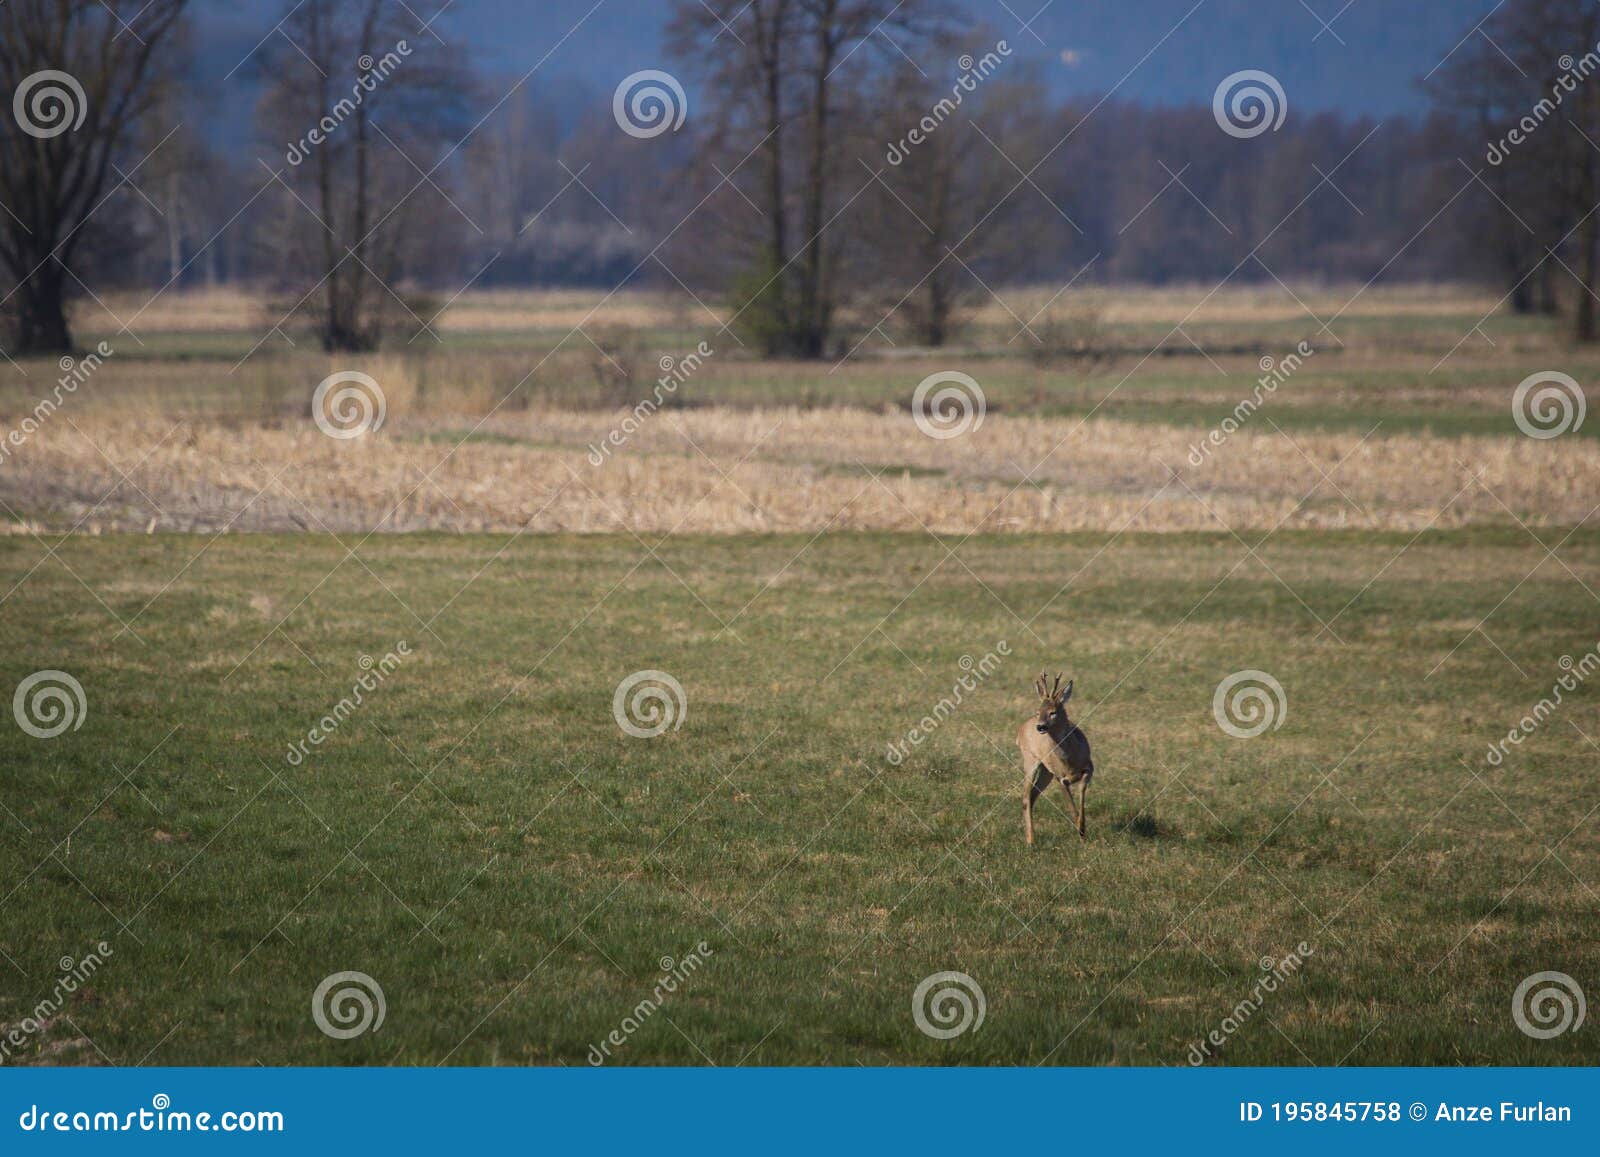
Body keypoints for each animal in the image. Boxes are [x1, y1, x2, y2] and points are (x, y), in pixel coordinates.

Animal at [1017, 673, 1094, 844]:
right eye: (1038, 711)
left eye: (1053, 712)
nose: (1040, 726)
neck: (1070, 761)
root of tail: (1021, 729)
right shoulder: (1060, 778)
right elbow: (1071, 808)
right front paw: (1081, 834)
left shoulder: (1089, 767)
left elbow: (1082, 793)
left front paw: (1082, 829)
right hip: (1030, 760)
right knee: (1025, 796)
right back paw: (1030, 840)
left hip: (1046, 771)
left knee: (1032, 795)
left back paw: (1031, 836)